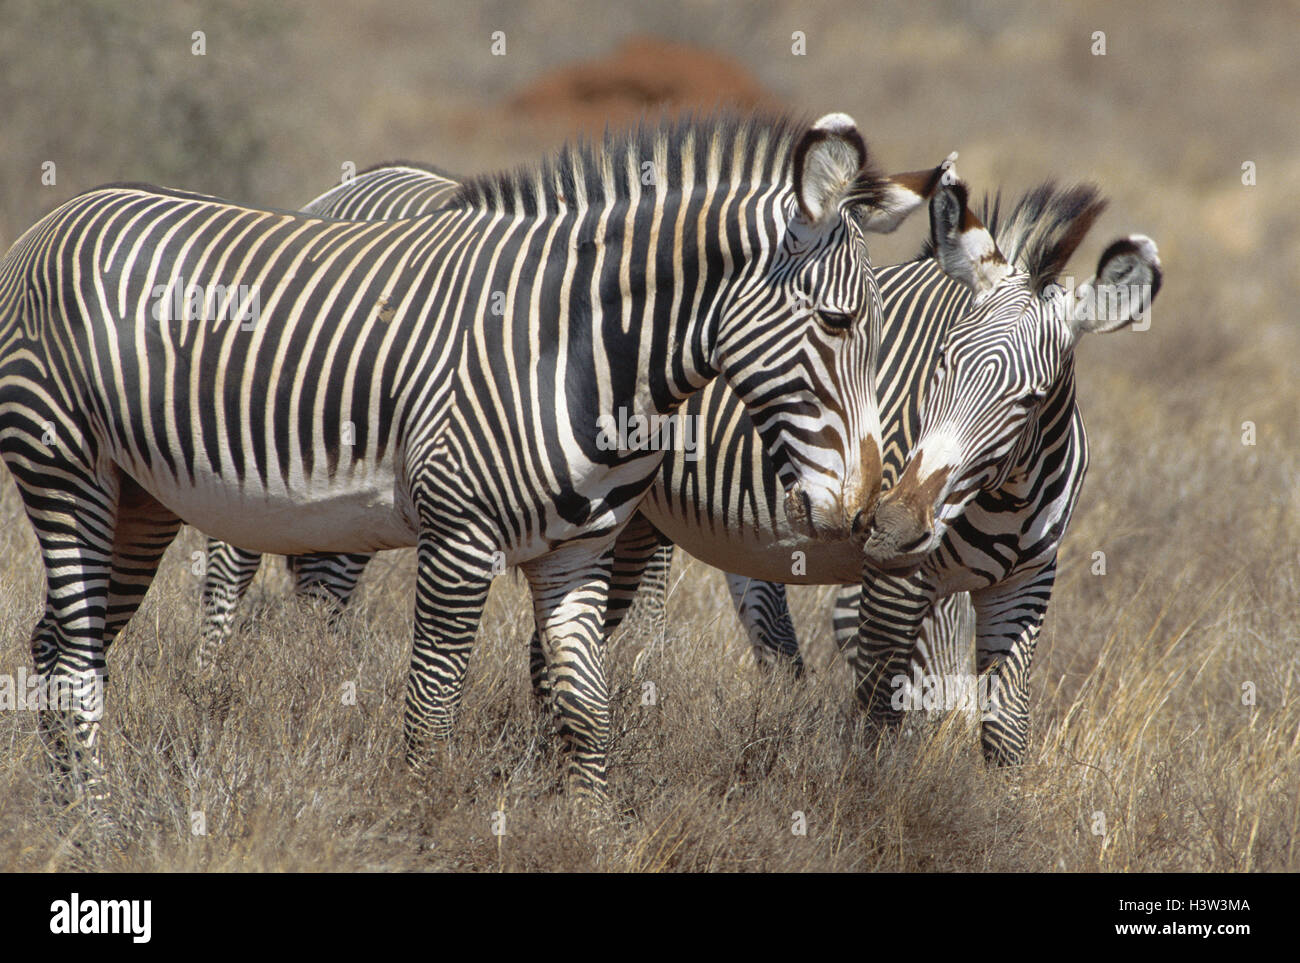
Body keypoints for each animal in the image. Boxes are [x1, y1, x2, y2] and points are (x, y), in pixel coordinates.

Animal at [0, 111, 935, 801]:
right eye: (839, 323)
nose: (863, 511)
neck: (585, 351)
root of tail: (56, 219)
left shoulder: (577, 553)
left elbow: (585, 714)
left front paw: (589, 830)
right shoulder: (459, 538)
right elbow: (431, 709)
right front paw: (419, 820)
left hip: (139, 500)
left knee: (56, 642)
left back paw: (65, 804)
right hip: (65, 470)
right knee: (76, 650)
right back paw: (97, 812)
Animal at [856, 180, 1162, 764]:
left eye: (1032, 399)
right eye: (943, 361)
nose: (895, 529)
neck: (1007, 501)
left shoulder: (1024, 586)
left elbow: (1006, 732)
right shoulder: (892, 586)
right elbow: (877, 715)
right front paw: (858, 781)